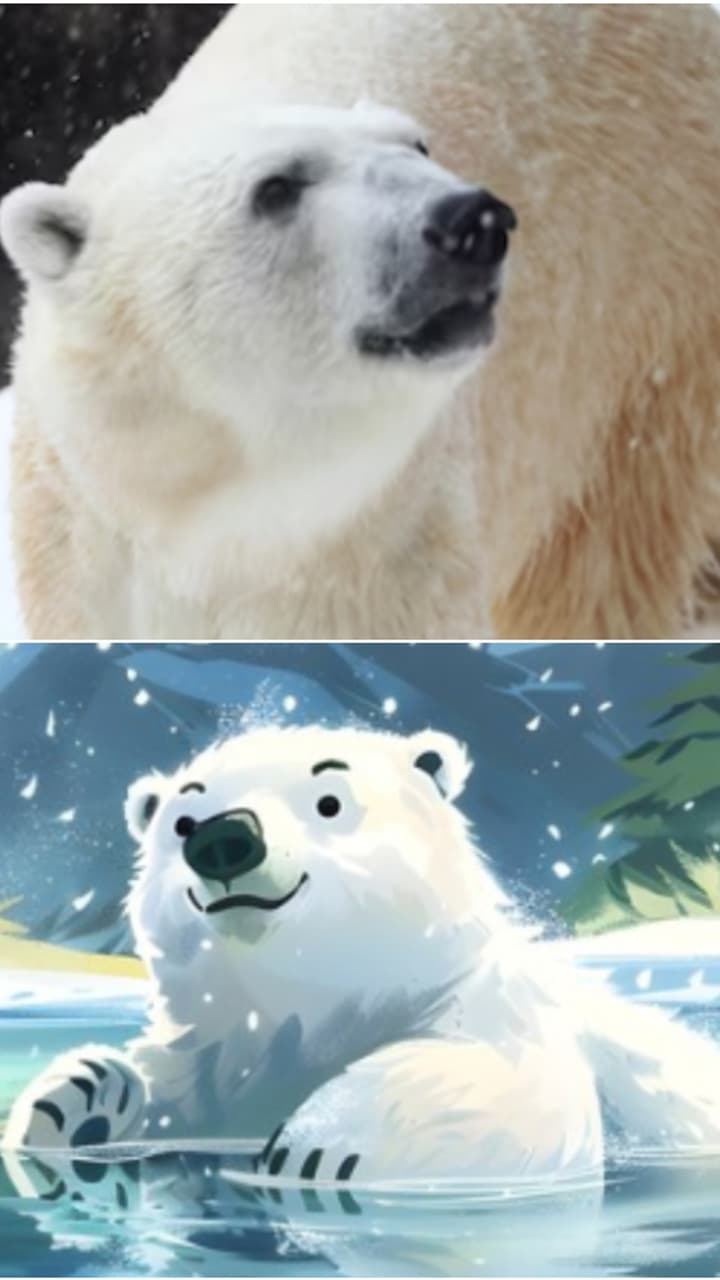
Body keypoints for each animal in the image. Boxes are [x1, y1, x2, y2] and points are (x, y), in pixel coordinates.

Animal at [5, 724, 720, 1187]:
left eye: (329, 802)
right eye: (179, 822)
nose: (223, 838)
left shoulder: (490, 1008)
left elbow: (510, 1090)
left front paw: (321, 1143)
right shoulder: (223, 1064)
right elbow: (171, 1097)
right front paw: (83, 1100)